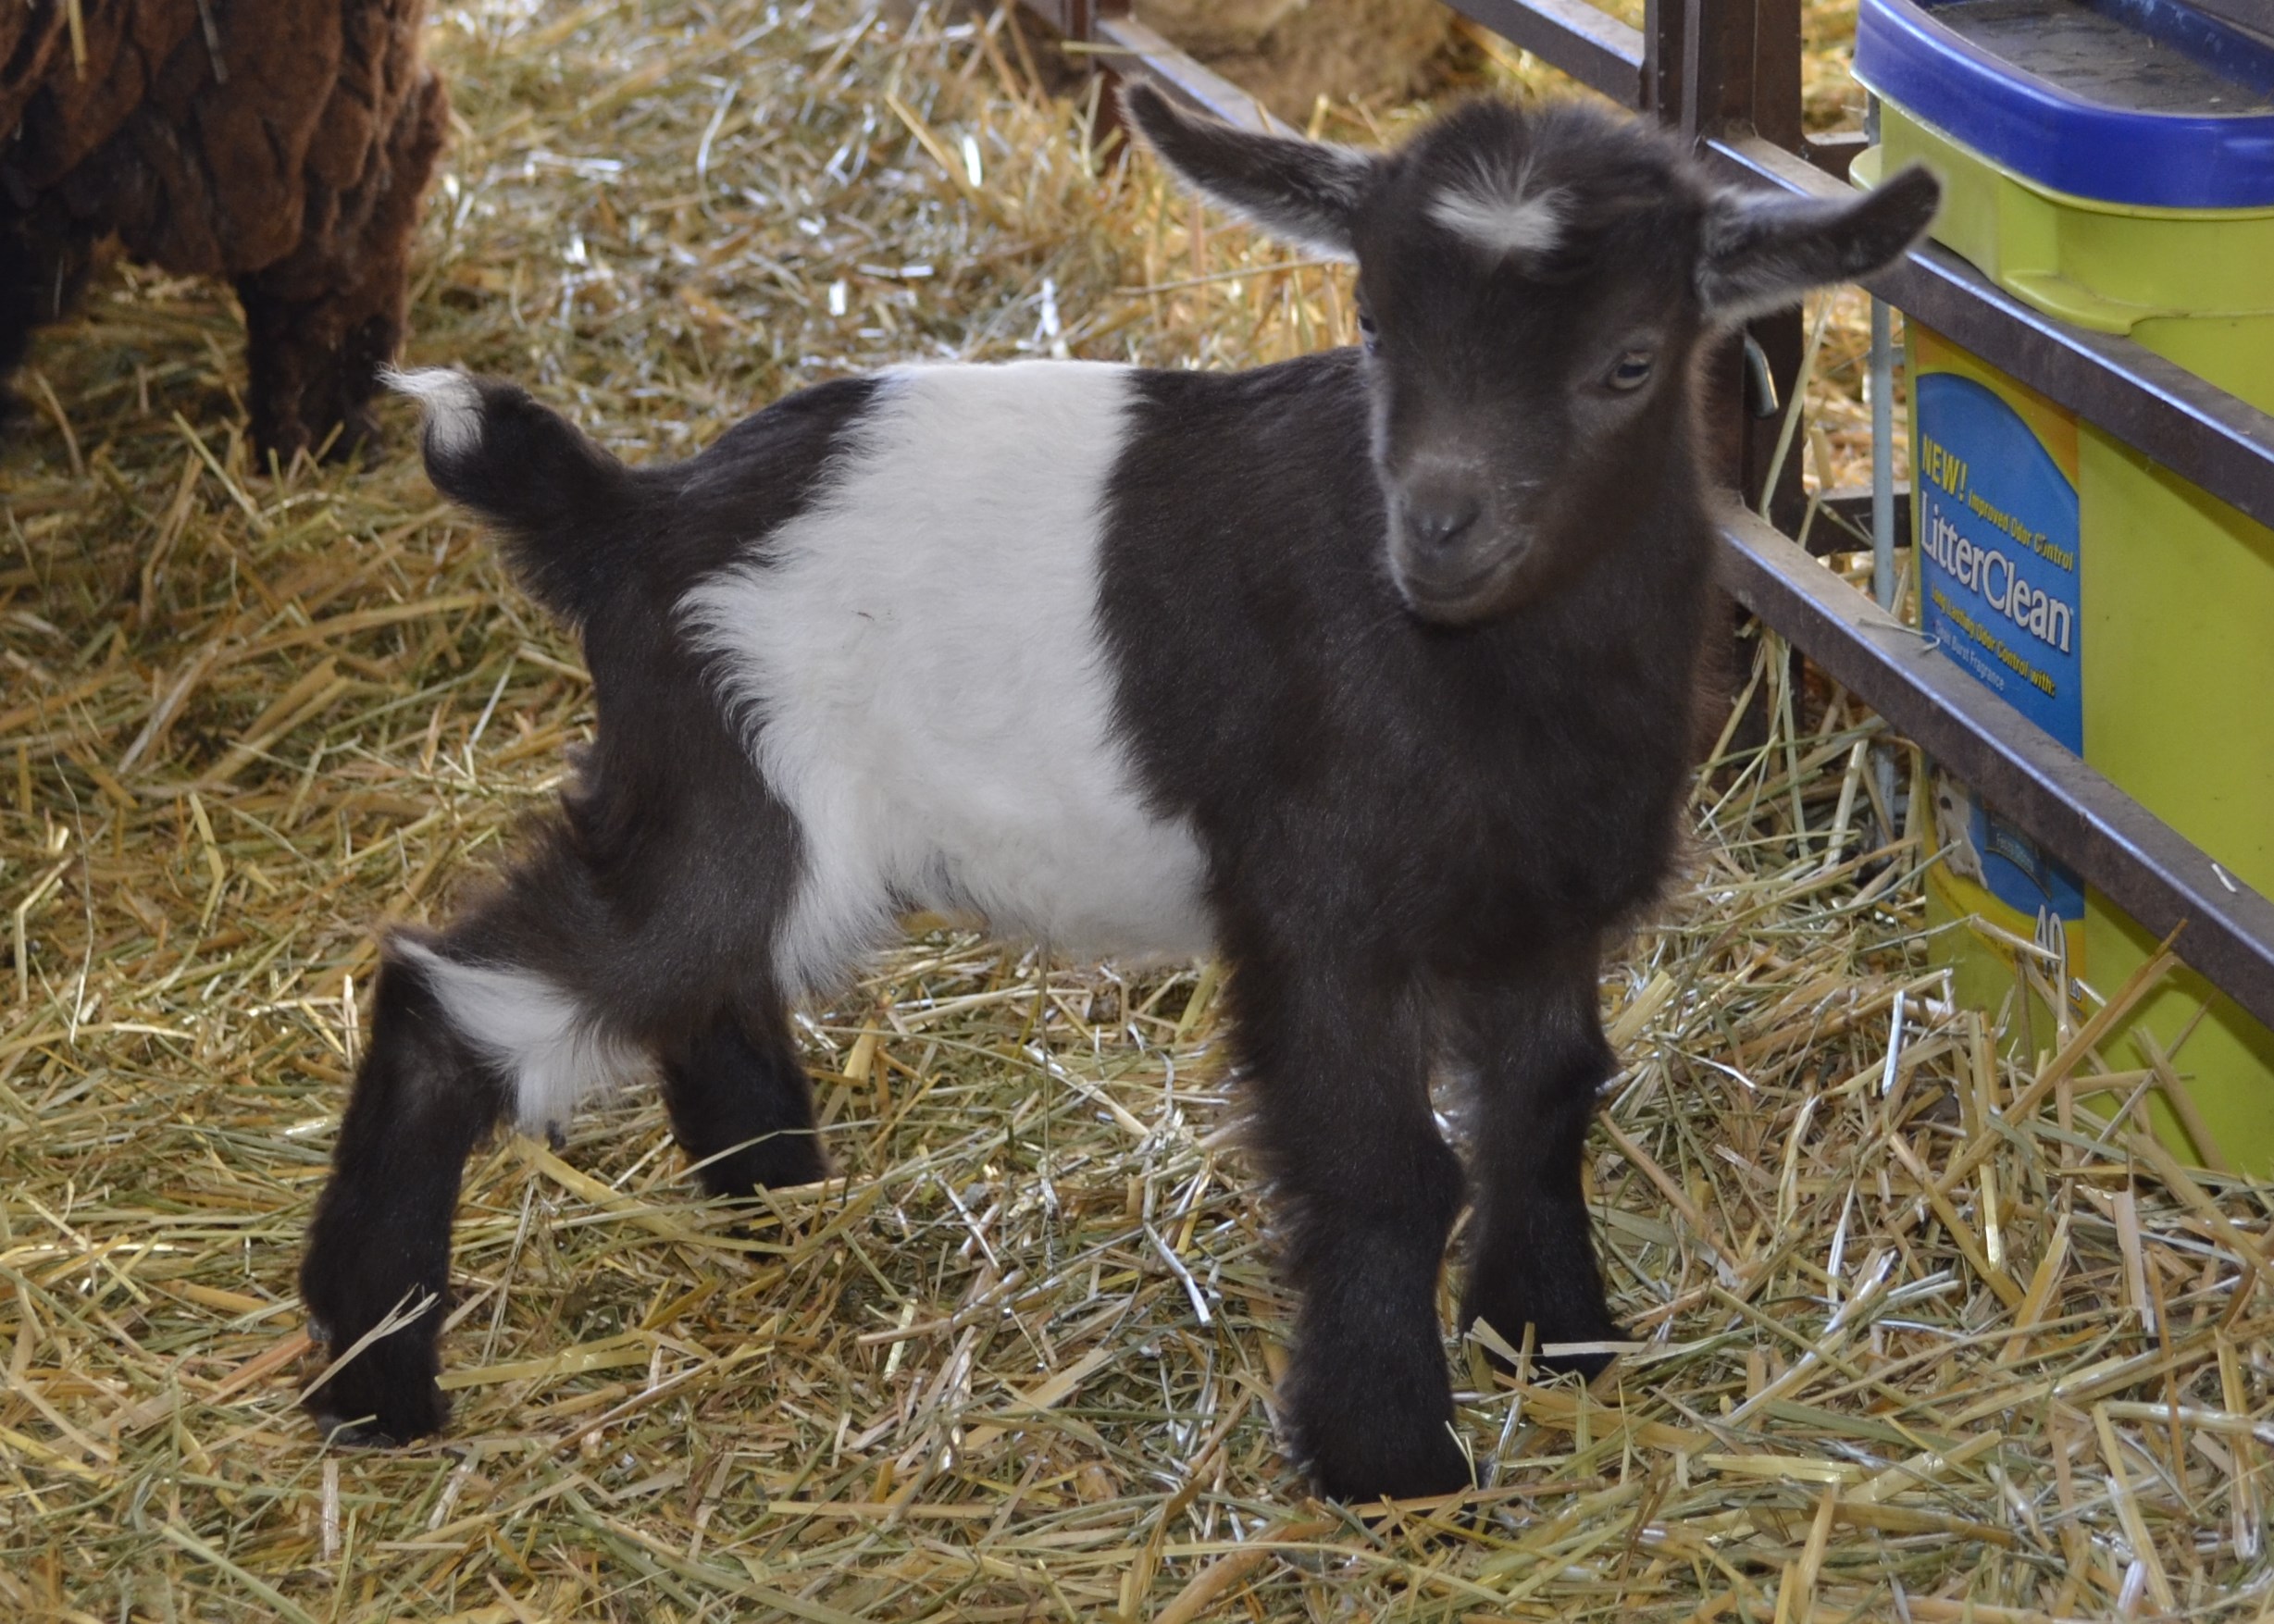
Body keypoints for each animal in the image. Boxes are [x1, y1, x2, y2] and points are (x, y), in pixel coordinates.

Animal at [297, 86, 1938, 1502]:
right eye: (1372, 323)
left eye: (1628, 360)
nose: (1439, 529)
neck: (1481, 667)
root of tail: (640, 516)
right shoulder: (1319, 906)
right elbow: (1385, 1168)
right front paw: (1392, 1462)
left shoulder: (1536, 902)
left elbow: (1543, 1103)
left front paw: (1556, 1337)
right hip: (728, 783)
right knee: (467, 989)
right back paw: (371, 1376)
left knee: (702, 993)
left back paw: (781, 1207)